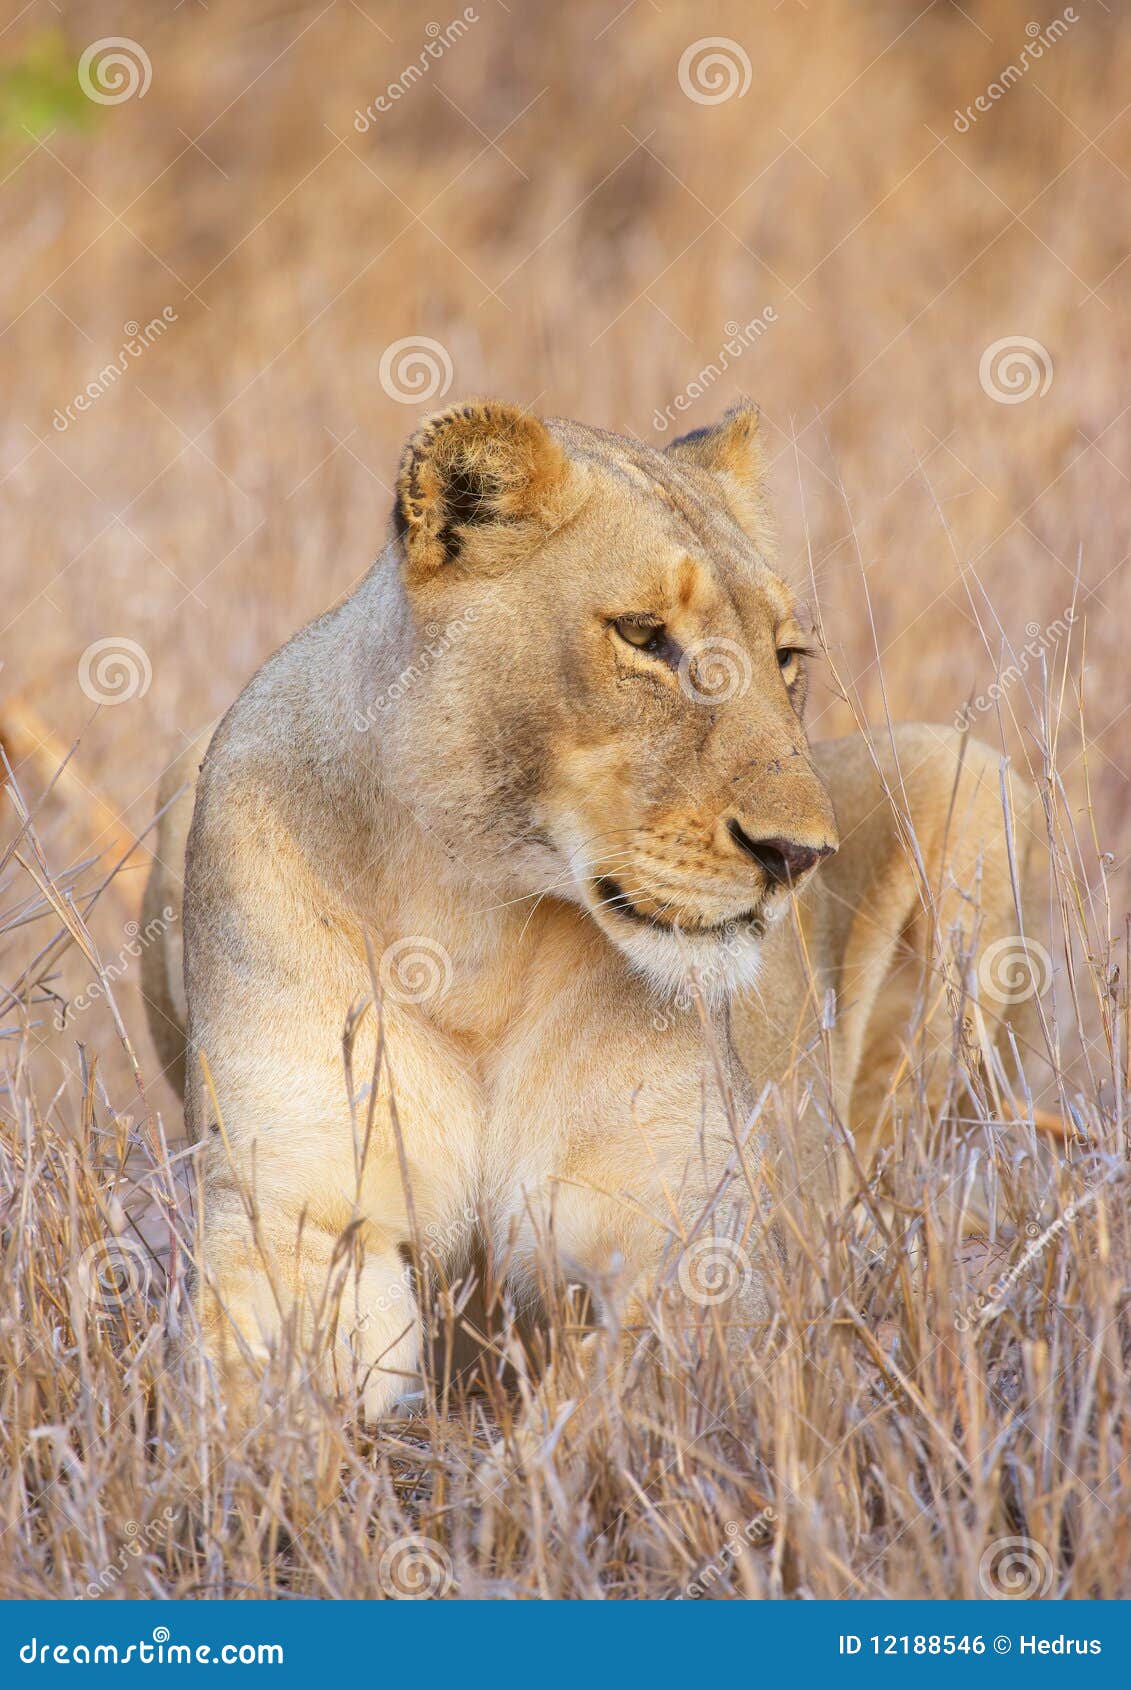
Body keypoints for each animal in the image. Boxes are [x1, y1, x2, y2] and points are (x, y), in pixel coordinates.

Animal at [141, 398, 1053, 1421]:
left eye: (786, 657)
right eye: (644, 636)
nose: (796, 856)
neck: (473, 926)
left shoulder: (692, 1242)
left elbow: (596, 1410)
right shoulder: (298, 1217)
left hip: (970, 776)